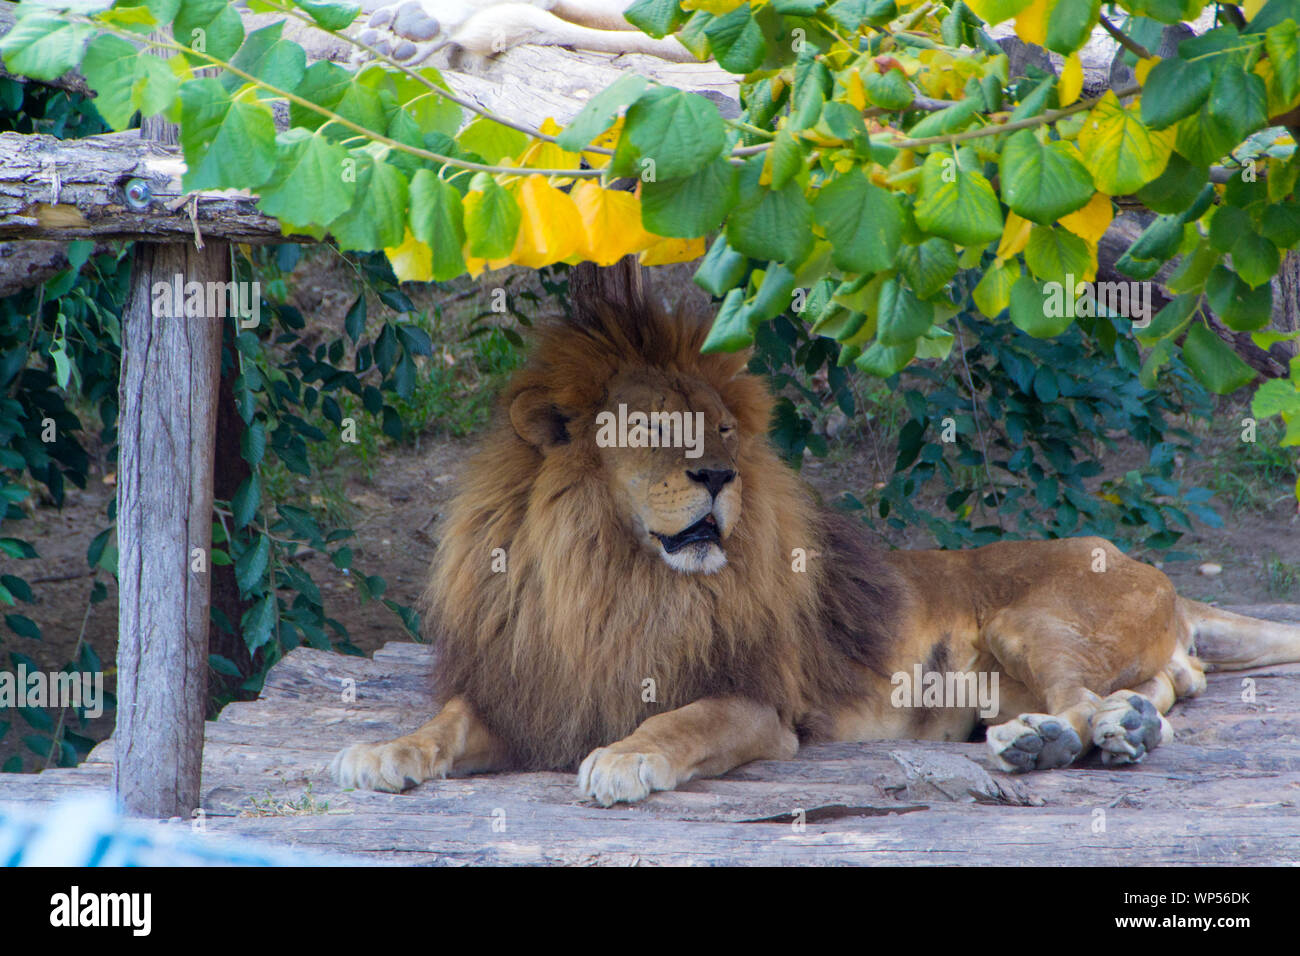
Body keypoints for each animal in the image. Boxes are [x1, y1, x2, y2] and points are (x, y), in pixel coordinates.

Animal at [331, 297, 1300, 805]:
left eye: (723, 429)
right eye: (651, 430)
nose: (719, 473)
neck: (612, 575)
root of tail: (1147, 567)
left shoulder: (761, 707)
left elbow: (682, 721)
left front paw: (628, 756)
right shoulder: (531, 687)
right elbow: (449, 720)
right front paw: (384, 751)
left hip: (1035, 616)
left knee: (1086, 697)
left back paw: (1062, 740)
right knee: (1160, 693)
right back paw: (1109, 729)